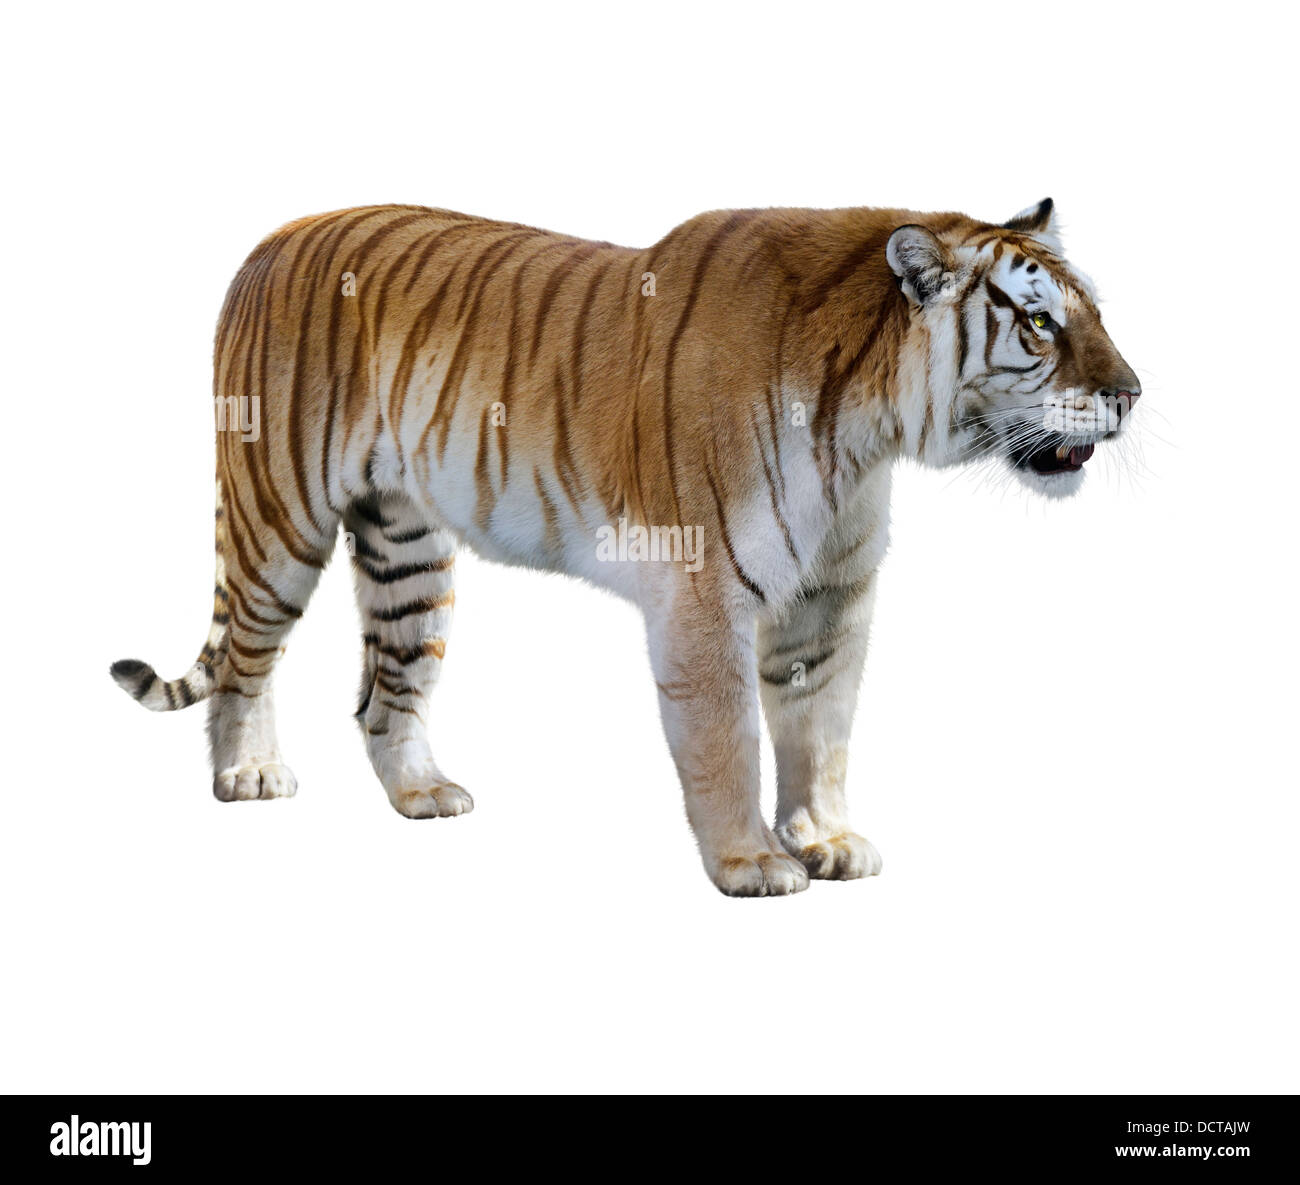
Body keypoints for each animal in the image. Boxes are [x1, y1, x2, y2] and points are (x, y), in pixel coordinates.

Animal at [110, 197, 1139, 897]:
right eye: (1040, 323)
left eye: (1093, 313)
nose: (1131, 393)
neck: (867, 431)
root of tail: (272, 237)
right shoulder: (705, 587)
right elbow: (727, 736)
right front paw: (752, 862)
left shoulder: (829, 599)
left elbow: (821, 731)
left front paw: (824, 838)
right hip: (276, 516)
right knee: (245, 661)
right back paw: (246, 775)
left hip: (410, 552)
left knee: (380, 696)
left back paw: (425, 795)